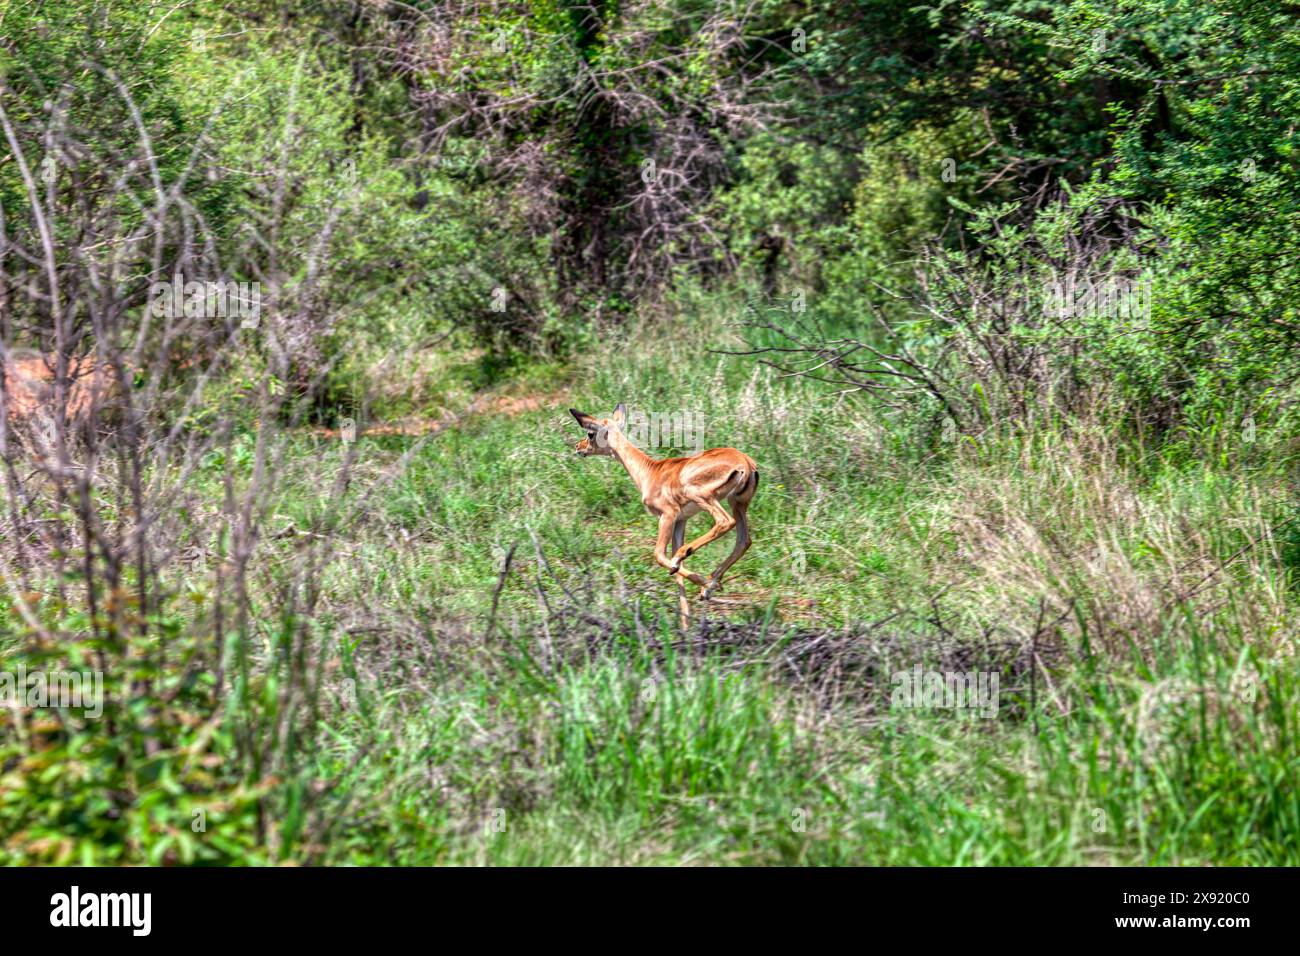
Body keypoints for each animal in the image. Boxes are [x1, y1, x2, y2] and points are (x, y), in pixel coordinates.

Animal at [569, 404, 758, 624]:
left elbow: (659, 555)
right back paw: (707, 583)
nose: (578, 446)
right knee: (744, 540)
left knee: (724, 522)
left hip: (704, 497)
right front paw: (685, 622)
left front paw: (704, 586)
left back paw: (701, 576)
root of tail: (745, 463)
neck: (650, 472)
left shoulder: (667, 515)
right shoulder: (681, 520)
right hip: (738, 503)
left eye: (590, 433)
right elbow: (675, 573)